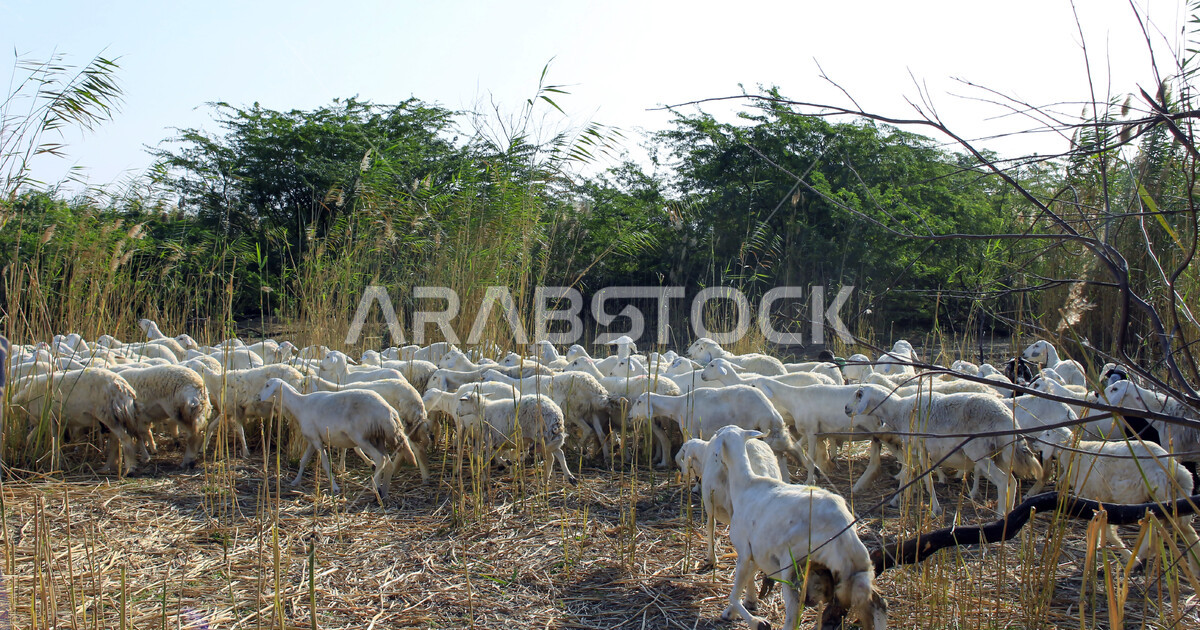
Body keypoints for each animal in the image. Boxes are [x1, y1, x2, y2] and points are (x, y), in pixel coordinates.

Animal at [259, 378, 416, 498]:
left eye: (267, 385)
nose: (258, 398)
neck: (300, 405)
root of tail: (388, 411)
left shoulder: (317, 441)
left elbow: (326, 465)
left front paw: (334, 487)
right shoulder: (313, 439)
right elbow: (303, 461)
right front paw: (296, 481)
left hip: (361, 437)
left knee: (380, 459)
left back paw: (375, 487)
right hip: (378, 438)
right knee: (388, 462)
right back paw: (384, 492)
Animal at [710, 425, 888, 630]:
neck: (745, 484)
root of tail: (843, 533)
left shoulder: (744, 551)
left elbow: (734, 592)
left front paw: (756, 621)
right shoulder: (760, 553)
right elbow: (747, 578)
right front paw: (731, 612)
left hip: (793, 566)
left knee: (793, 615)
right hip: (855, 570)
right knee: (878, 603)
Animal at [846, 384, 1043, 514]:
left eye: (859, 394)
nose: (846, 408)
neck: (898, 410)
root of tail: (1008, 418)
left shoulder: (920, 449)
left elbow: (924, 479)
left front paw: (935, 508)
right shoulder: (915, 451)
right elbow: (907, 475)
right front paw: (896, 500)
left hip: (979, 451)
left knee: (1002, 480)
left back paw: (1001, 514)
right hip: (1000, 454)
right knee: (1012, 481)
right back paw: (1009, 512)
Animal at [1028, 426, 1199, 575]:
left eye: (1048, 434)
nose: (1034, 441)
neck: (1075, 454)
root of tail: (1176, 470)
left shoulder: (1093, 496)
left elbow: (1098, 529)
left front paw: (1093, 559)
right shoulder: (1105, 500)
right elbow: (1107, 530)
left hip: (1158, 495)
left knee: (1163, 526)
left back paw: (1142, 554)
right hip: (1174, 498)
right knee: (1184, 528)